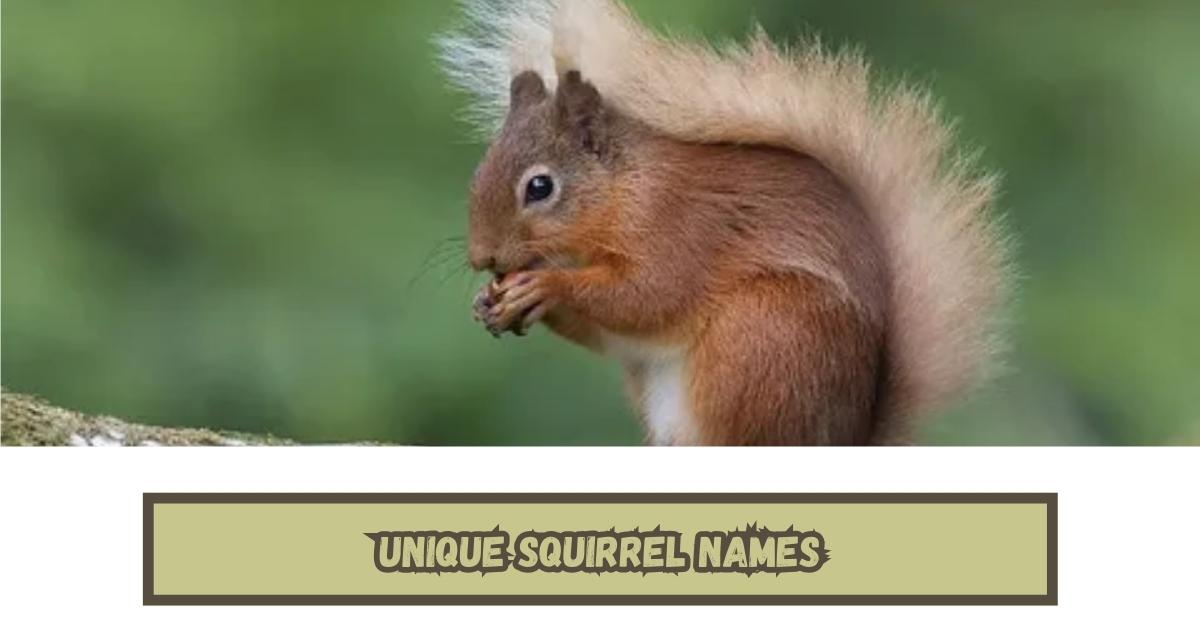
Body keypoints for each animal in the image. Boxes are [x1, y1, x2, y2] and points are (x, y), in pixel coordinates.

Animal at [438, 0, 1012, 445]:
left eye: (540, 187)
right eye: (480, 168)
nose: (482, 258)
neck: (623, 189)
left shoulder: (679, 224)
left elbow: (650, 294)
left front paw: (546, 286)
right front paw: (491, 302)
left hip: (760, 342)